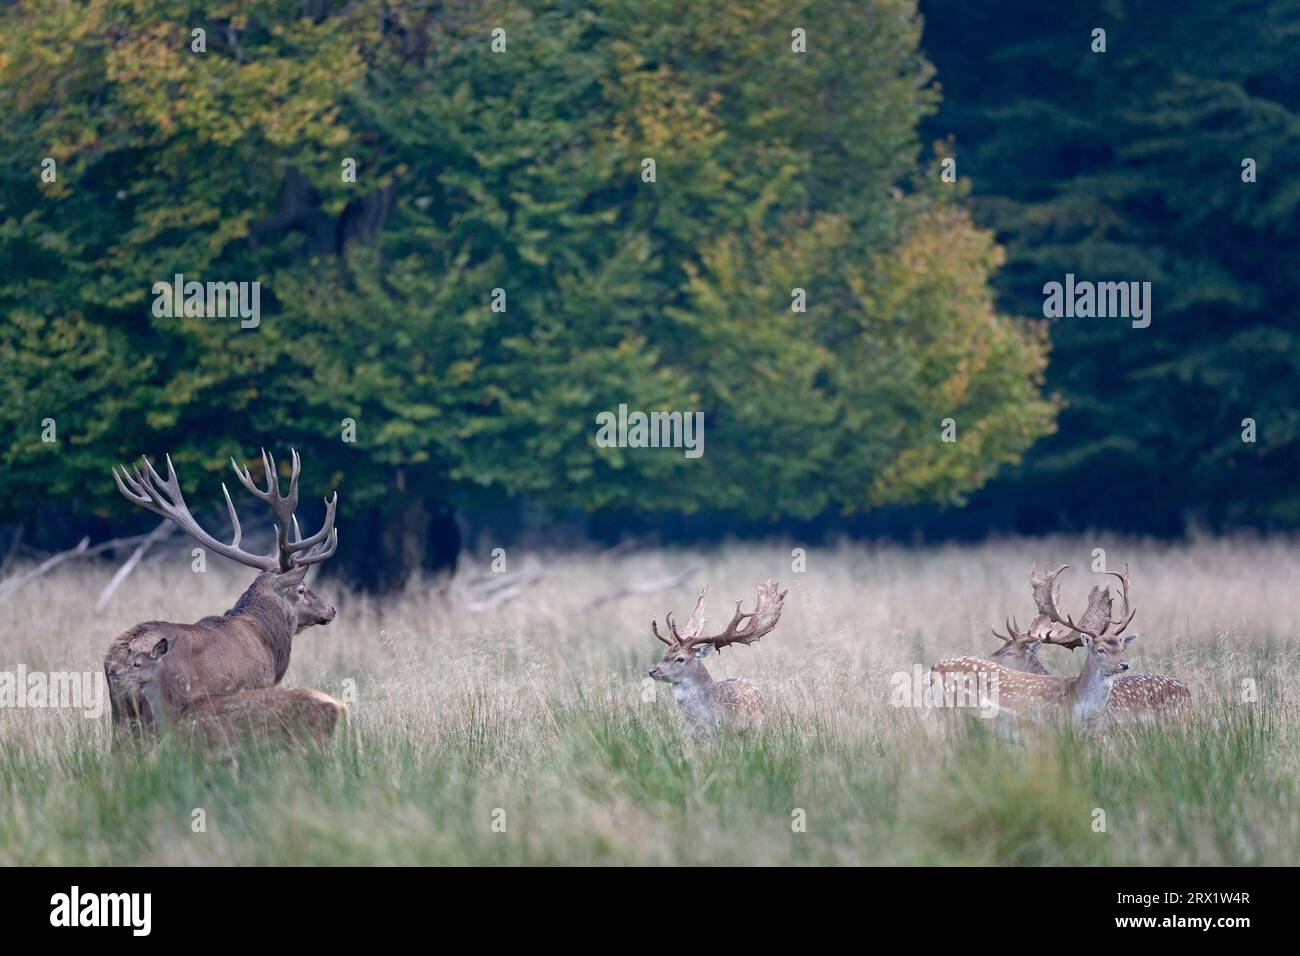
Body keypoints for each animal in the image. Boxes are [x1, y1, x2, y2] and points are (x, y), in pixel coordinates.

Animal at [103, 449, 338, 742]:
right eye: (302, 589)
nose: (331, 609)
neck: (267, 642)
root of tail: (123, 652)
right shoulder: (252, 688)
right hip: (157, 709)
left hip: (119, 714)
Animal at [110, 635, 347, 750]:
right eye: (127, 659)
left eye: (137, 664)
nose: (112, 672)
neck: (180, 710)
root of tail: (341, 707)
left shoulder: (204, 744)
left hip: (310, 739)